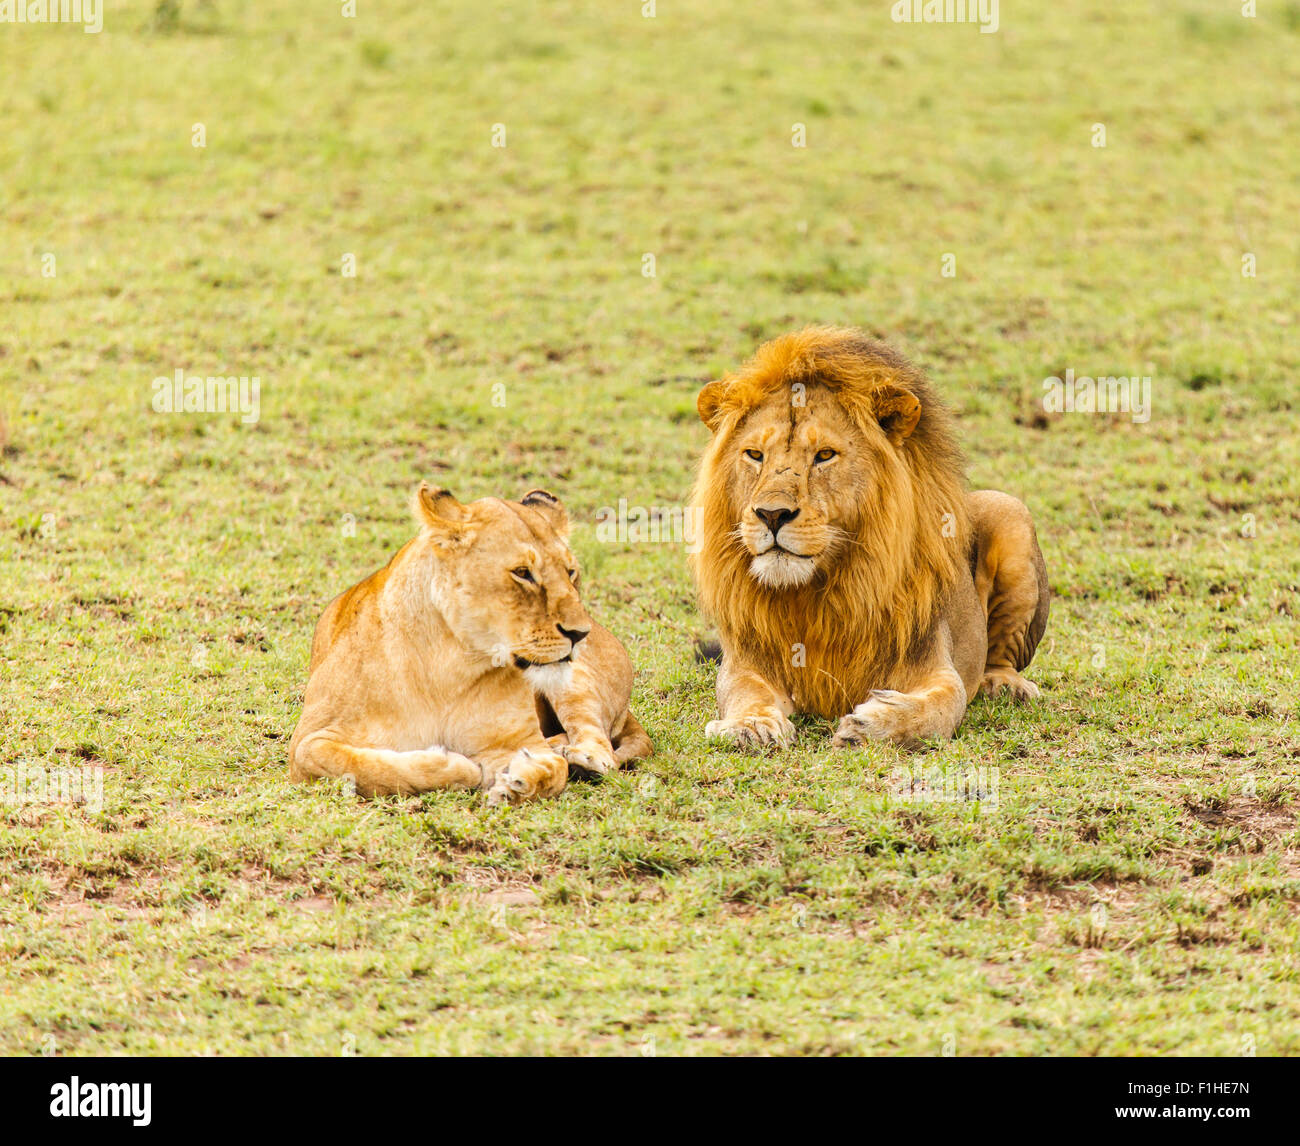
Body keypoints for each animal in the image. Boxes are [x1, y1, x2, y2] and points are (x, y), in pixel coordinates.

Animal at [288, 483, 652, 805]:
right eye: (523, 572)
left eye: (571, 572)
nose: (579, 633)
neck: (453, 662)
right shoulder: (308, 742)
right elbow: (363, 767)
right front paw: (455, 765)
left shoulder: (515, 740)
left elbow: (554, 771)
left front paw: (517, 784)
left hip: (575, 685)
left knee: (601, 746)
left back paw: (579, 757)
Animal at [689, 325, 1049, 749]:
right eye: (755, 455)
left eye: (825, 455)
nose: (772, 514)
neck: (812, 595)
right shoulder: (746, 662)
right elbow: (747, 693)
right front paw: (750, 726)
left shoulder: (934, 666)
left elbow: (940, 706)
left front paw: (873, 724)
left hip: (1009, 510)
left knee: (1002, 658)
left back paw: (1004, 685)